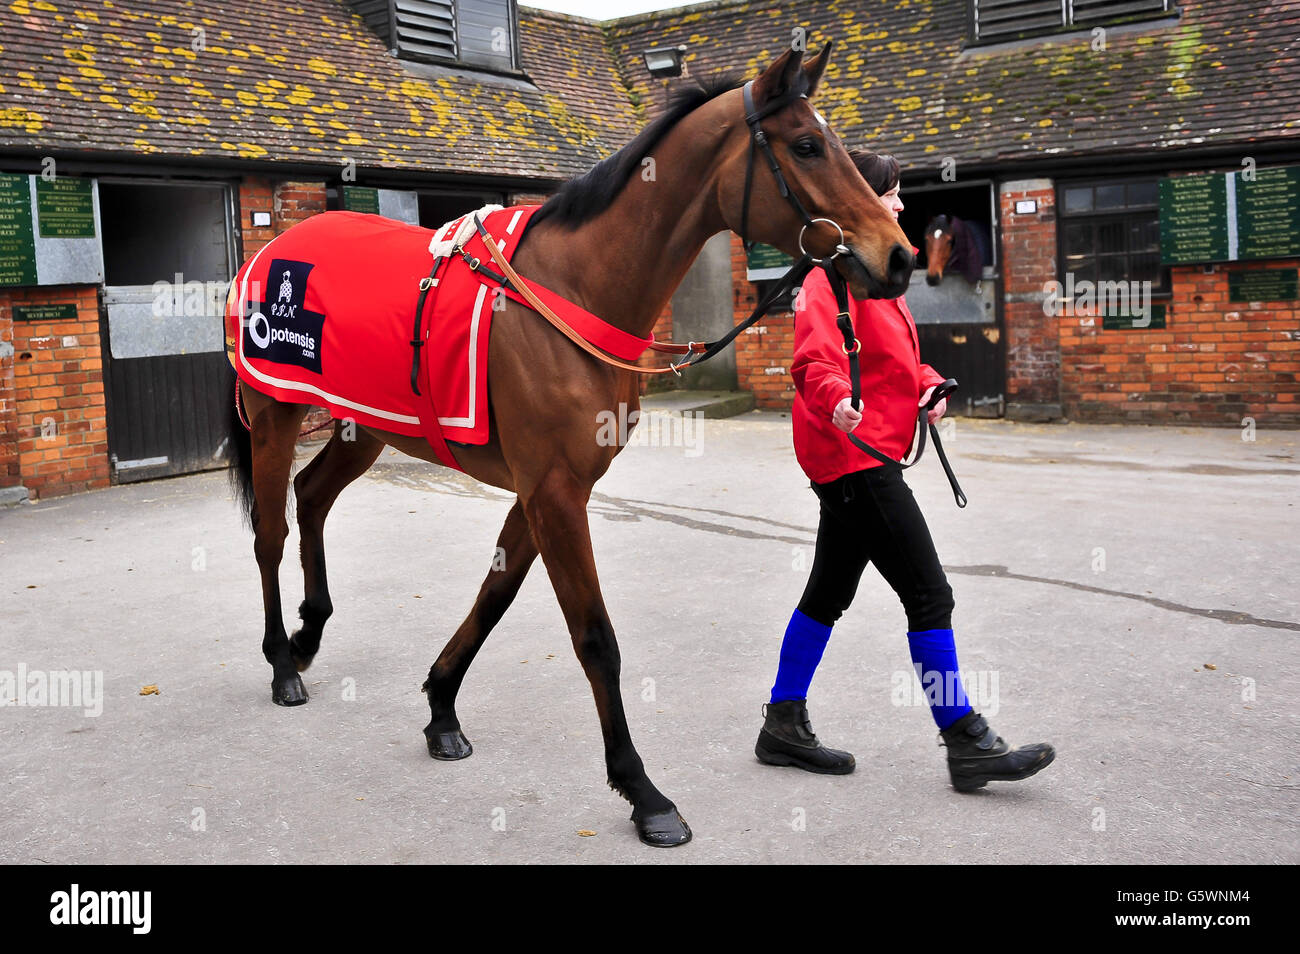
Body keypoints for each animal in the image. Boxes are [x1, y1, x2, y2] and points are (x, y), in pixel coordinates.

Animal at [224, 43, 915, 847]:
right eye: (806, 145)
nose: (897, 258)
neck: (570, 295)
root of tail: (275, 246)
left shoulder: (548, 489)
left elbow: (495, 595)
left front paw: (441, 707)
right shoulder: (553, 492)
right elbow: (595, 638)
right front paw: (644, 791)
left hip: (361, 425)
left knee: (311, 498)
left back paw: (309, 633)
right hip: (274, 417)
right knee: (269, 532)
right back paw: (282, 662)